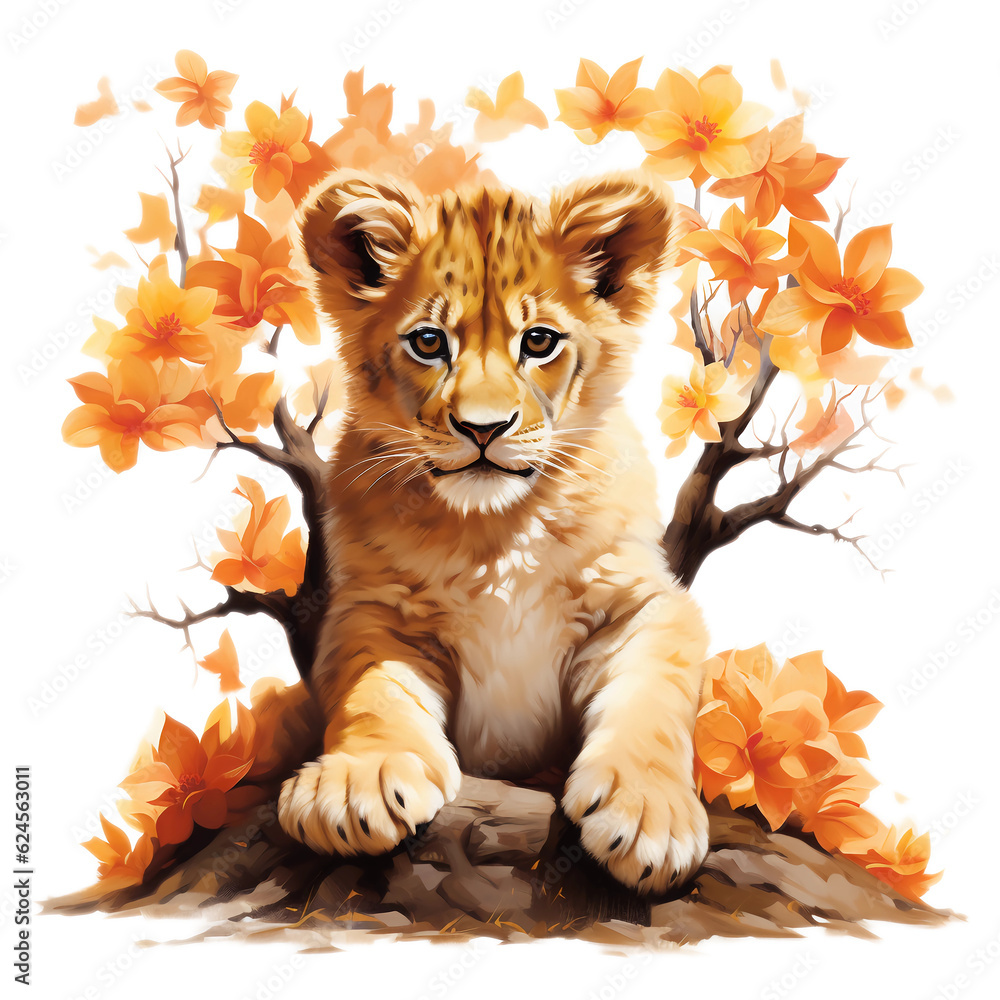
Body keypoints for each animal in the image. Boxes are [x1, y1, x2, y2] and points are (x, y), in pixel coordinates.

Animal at [276, 168, 711, 893]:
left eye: (538, 341)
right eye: (428, 342)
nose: (483, 429)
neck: (495, 530)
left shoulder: (642, 605)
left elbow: (655, 692)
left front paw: (650, 814)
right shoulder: (374, 611)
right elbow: (374, 690)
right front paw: (357, 786)